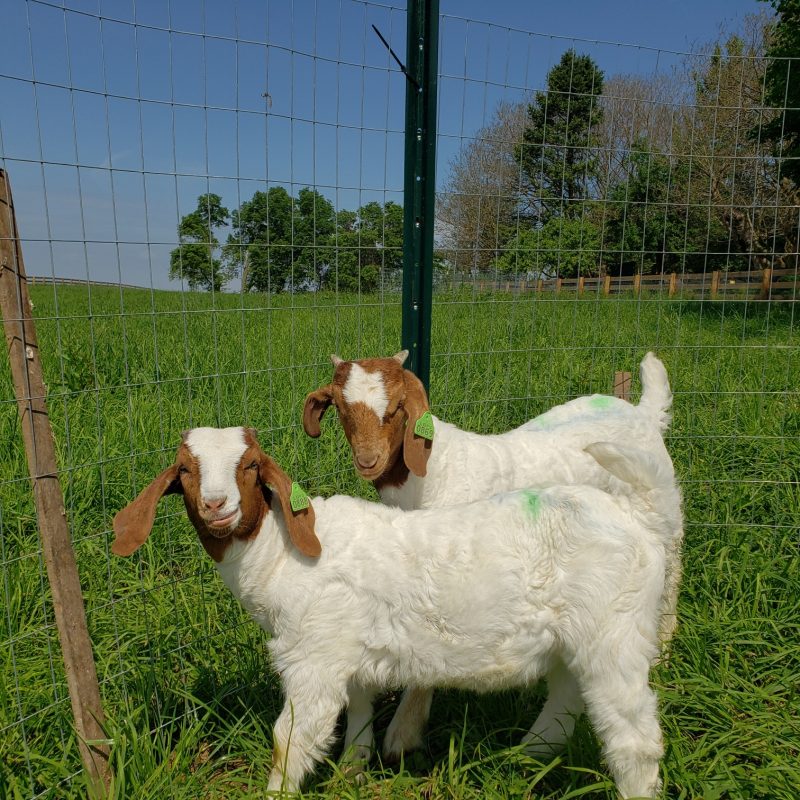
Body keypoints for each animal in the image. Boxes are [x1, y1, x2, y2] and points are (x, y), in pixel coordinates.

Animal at [112, 426, 677, 798]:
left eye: (250, 466)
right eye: (185, 470)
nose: (216, 506)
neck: (278, 554)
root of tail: (638, 514)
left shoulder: (313, 657)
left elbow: (290, 740)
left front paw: (279, 792)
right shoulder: (348, 649)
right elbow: (358, 710)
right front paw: (353, 770)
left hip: (615, 632)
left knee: (634, 740)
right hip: (574, 638)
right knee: (567, 698)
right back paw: (525, 757)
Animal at [303, 351, 683, 758]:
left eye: (397, 407)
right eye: (340, 408)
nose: (368, 459)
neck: (433, 473)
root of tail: (643, 412)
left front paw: (402, 736)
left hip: (668, 523)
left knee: (670, 584)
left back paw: (663, 656)